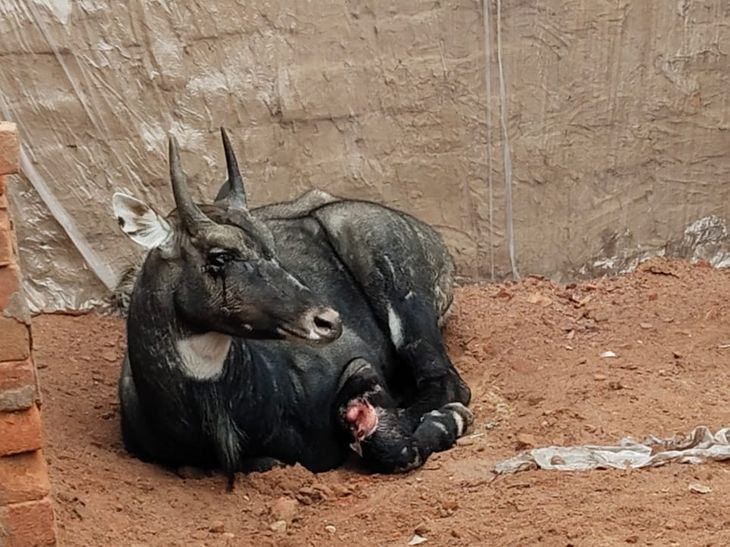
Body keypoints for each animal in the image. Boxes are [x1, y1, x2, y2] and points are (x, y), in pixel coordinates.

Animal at [111, 129, 473, 489]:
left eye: (269, 244)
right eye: (219, 256)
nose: (328, 321)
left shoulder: (360, 366)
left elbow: (393, 446)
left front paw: (449, 418)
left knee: (446, 381)